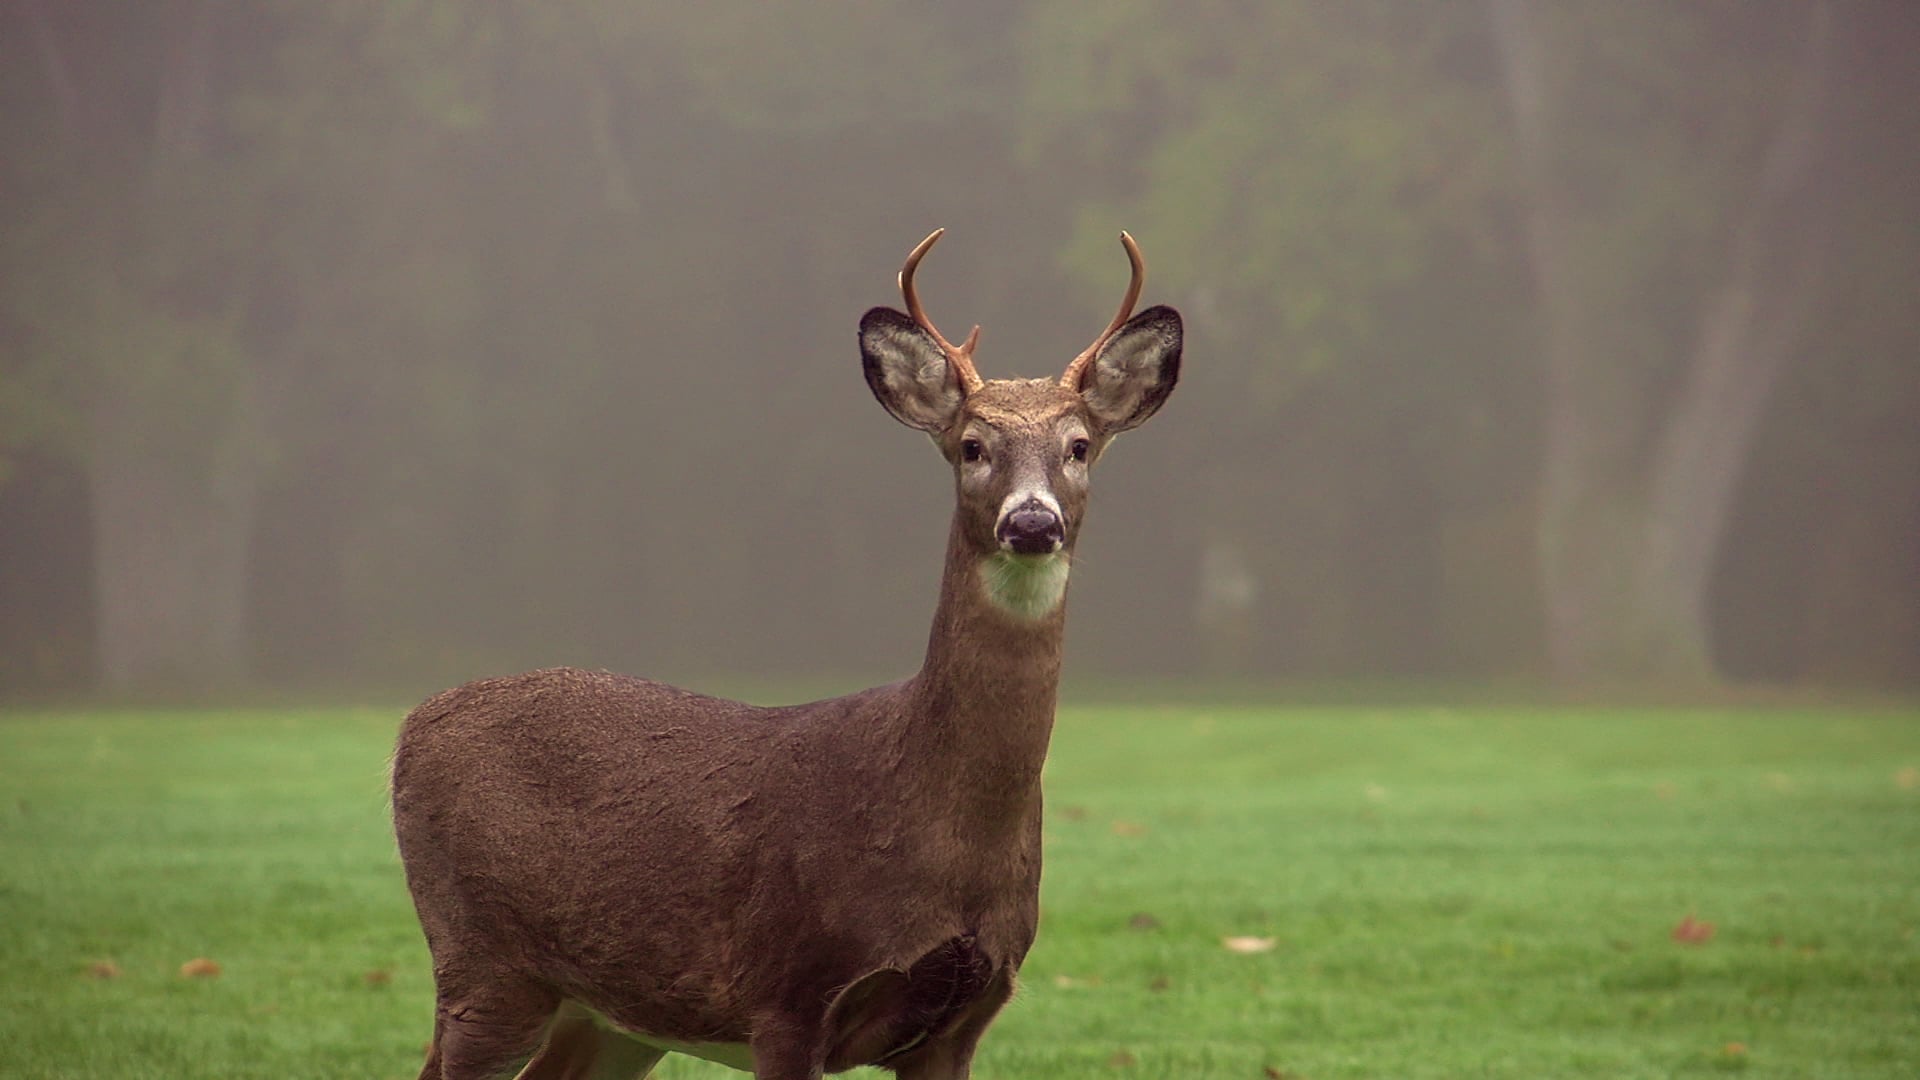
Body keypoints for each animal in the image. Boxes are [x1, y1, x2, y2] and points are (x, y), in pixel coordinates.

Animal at [390, 228, 1182, 1080]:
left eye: (1079, 447)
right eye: (972, 446)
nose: (1032, 523)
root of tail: (409, 726)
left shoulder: (964, 1018)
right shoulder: (787, 992)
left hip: (611, 1015)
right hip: (483, 957)